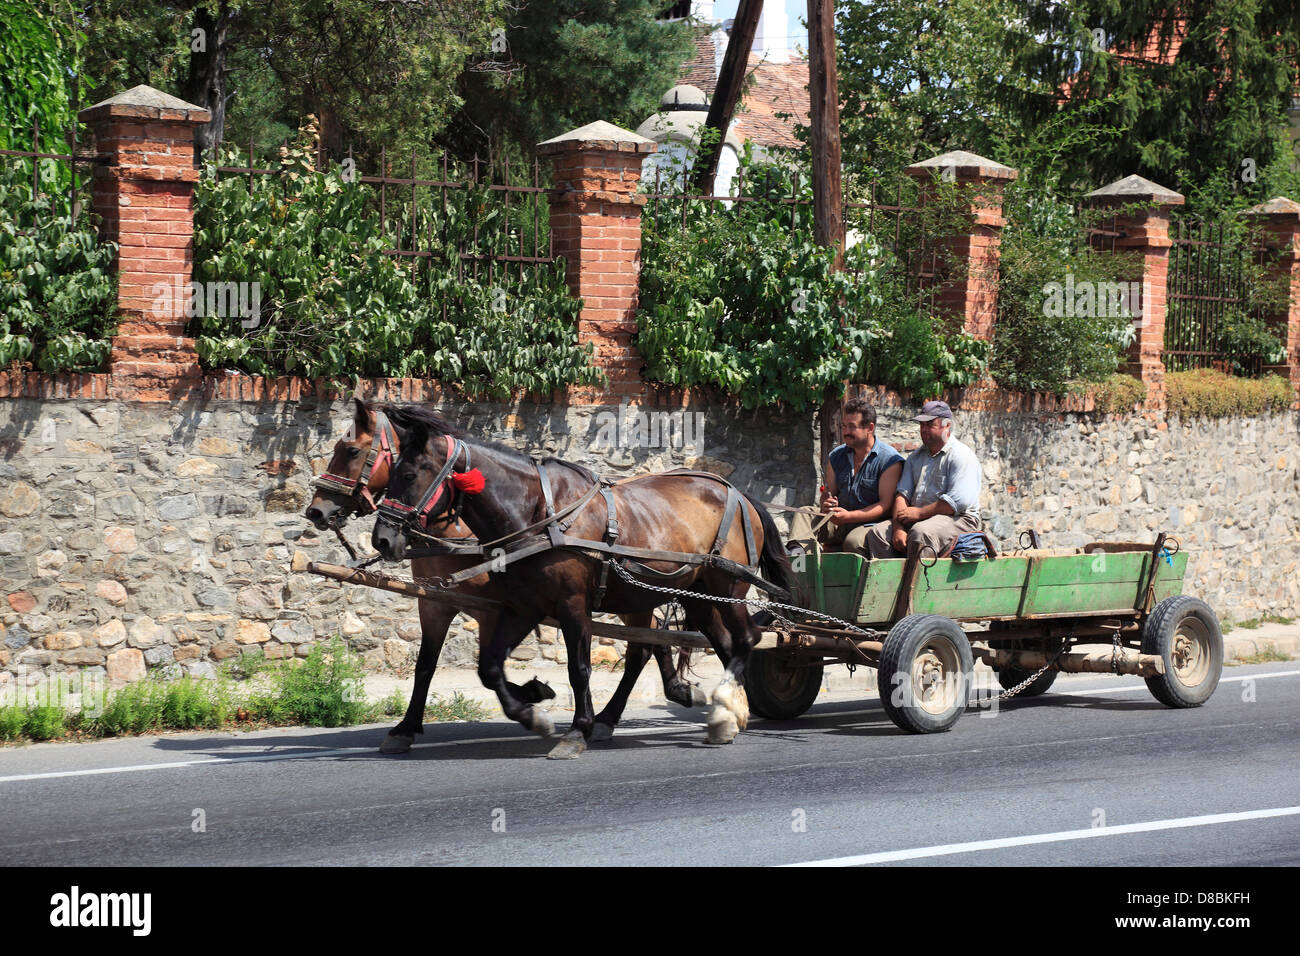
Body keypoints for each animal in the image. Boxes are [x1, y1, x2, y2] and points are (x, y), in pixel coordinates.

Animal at [304, 398, 708, 754]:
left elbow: (492, 667)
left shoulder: (494, 611)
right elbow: (430, 666)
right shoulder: (436, 604)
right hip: (635, 594)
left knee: (647, 642)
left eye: (352, 451)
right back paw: (645, 702)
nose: (315, 511)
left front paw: (532, 700)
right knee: (647, 642)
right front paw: (405, 728)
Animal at [370, 405, 794, 758]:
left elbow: (579, 669)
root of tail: (740, 495)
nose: (382, 539)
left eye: (408, 474)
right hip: (697, 596)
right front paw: (532, 714)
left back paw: (722, 711)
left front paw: (576, 730)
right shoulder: (523, 607)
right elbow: (489, 666)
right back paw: (728, 713)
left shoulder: (572, 605)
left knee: (746, 639)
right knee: (720, 644)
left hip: (727, 588)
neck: (538, 513)